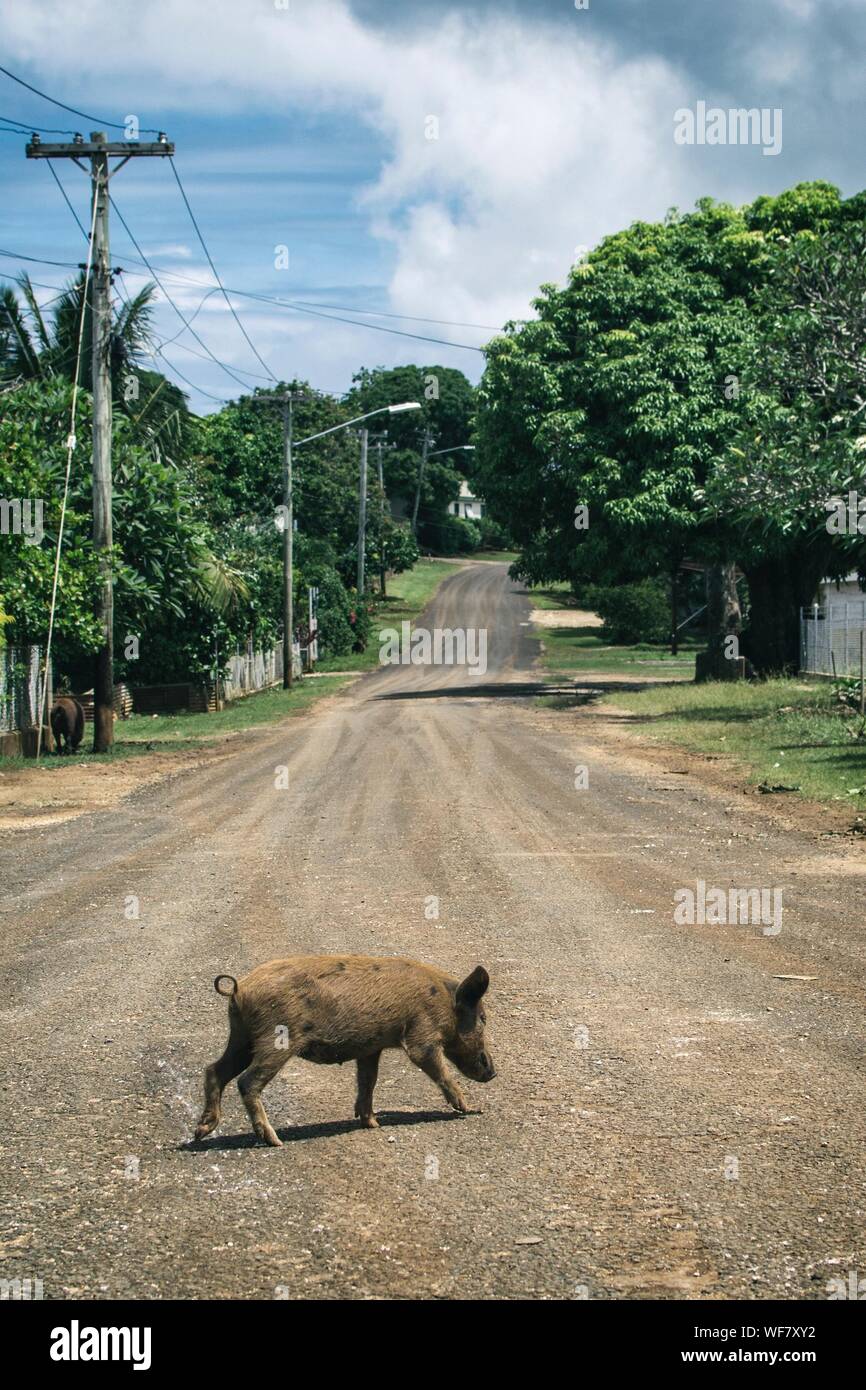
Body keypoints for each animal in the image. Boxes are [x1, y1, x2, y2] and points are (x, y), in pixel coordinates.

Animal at [194, 954, 495, 1147]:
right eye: (483, 1018)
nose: (493, 1072)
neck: (444, 1001)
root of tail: (239, 989)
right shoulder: (421, 1034)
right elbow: (436, 1067)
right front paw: (468, 1108)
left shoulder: (371, 1048)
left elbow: (368, 1081)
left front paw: (372, 1123)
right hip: (276, 1040)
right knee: (247, 1082)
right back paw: (274, 1141)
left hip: (241, 1038)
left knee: (214, 1070)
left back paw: (201, 1132)